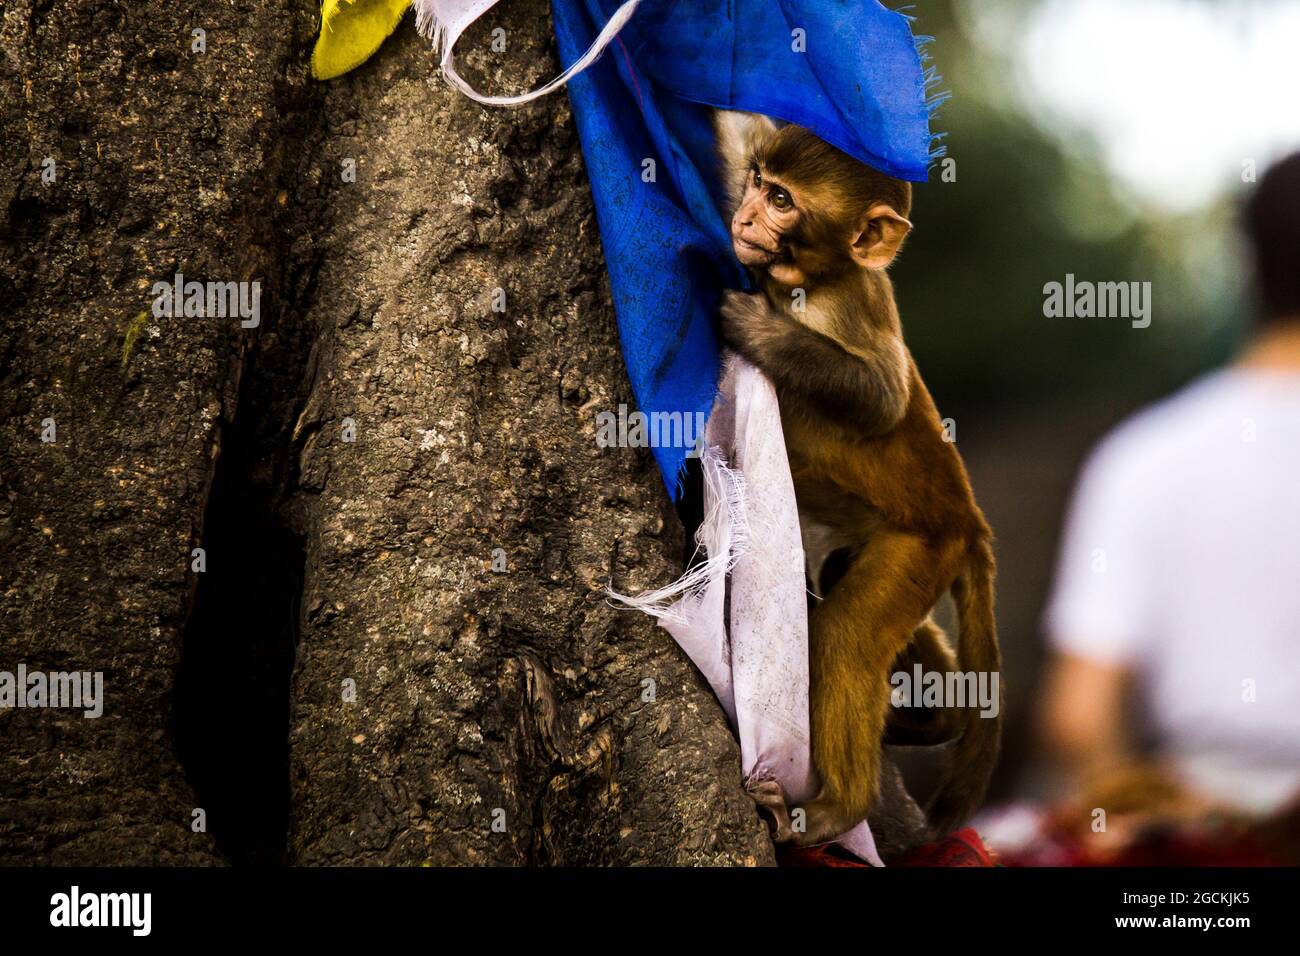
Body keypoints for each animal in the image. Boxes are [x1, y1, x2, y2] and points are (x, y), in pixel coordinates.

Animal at [713, 110, 1002, 845]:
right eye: (758, 180)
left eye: (782, 201)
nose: (747, 215)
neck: (809, 278)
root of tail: (969, 521)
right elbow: (735, 130)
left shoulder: (850, 304)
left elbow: (879, 398)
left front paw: (762, 329)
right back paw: (937, 717)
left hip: (922, 549)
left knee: (844, 638)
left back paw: (839, 807)